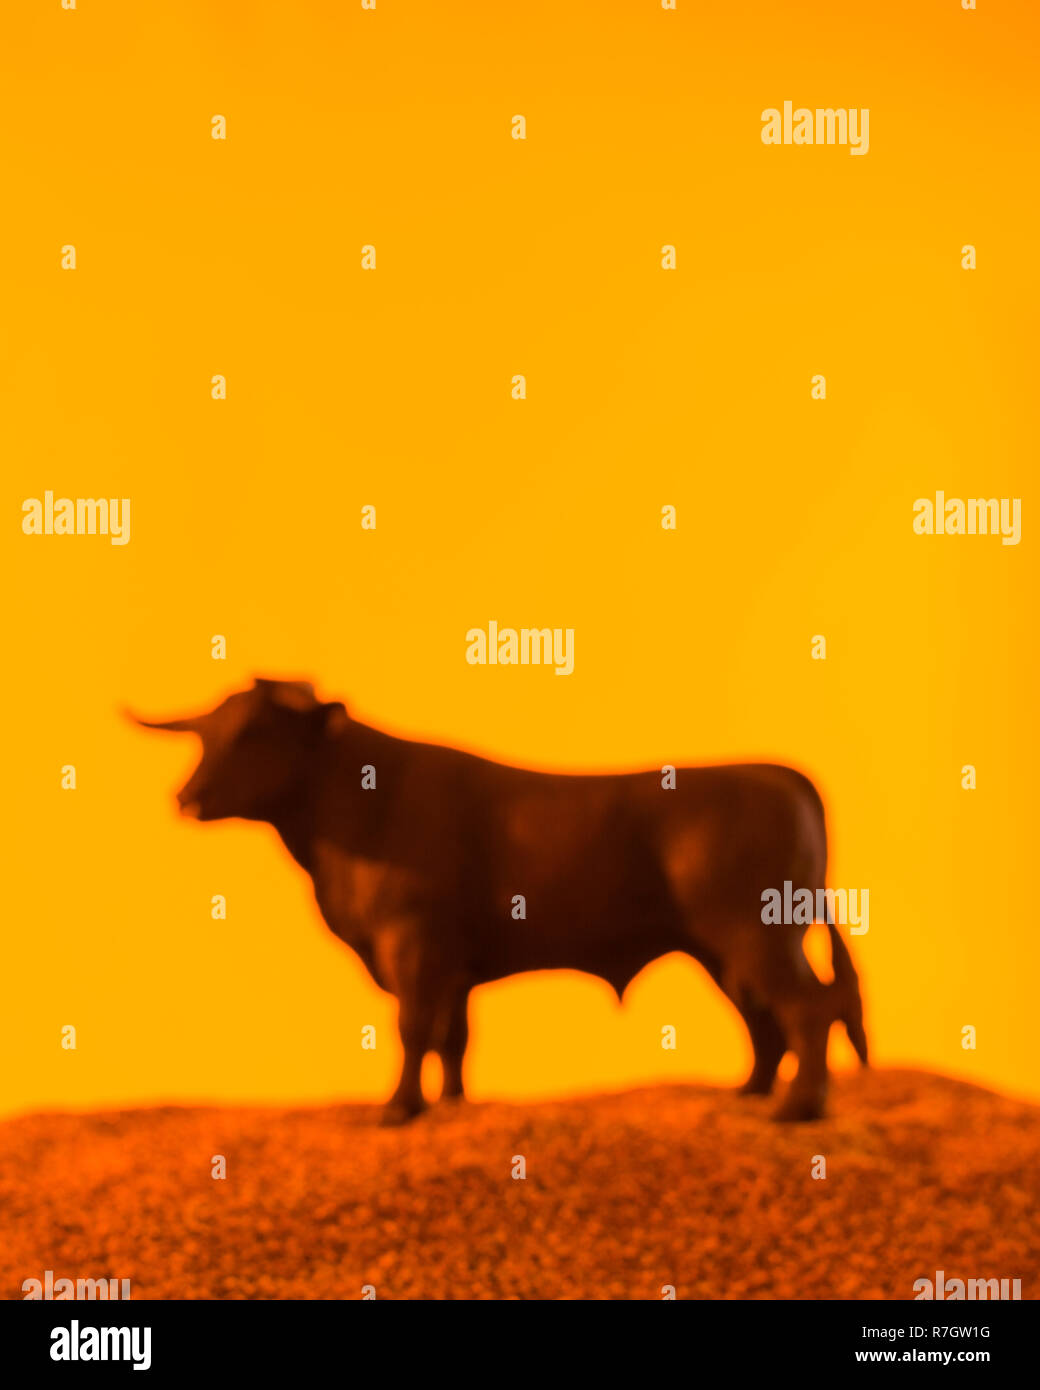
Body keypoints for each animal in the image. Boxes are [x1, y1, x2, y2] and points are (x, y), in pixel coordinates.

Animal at [132, 677, 868, 1124]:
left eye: (255, 733)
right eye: (207, 732)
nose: (186, 797)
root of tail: (777, 773)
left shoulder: (413, 942)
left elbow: (413, 1028)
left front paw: (397, 1110)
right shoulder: (452, 965)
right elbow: (452, 1039)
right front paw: (453, 1104)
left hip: (756, 934)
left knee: (808, 1007)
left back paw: (794, 1110)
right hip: (726, 947)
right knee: (766, 1019)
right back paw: (752, 1094)